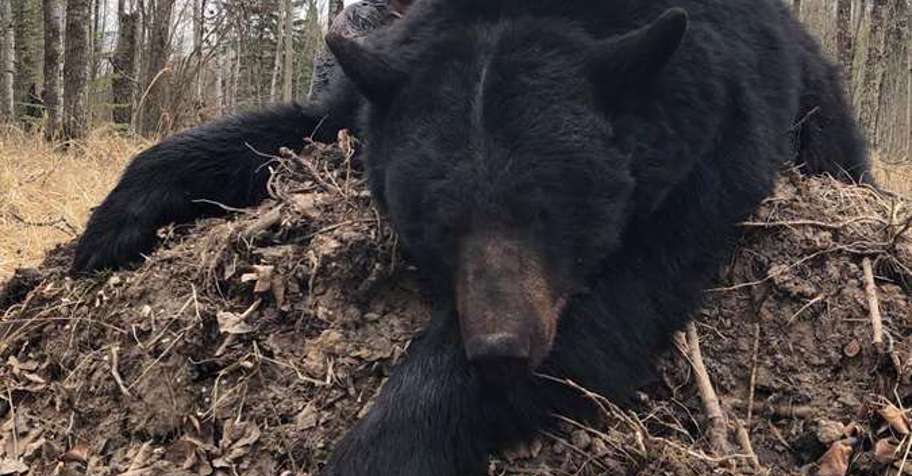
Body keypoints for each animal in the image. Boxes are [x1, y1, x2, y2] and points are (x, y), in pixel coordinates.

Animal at [71, 0, 870, 474]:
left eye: (551, 210)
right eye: (437, 220)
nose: (499, 348)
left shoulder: (714, 141)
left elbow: (615, 303)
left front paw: (383, 446)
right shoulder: (379, 90)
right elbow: (294, 126)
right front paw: (107, 230)